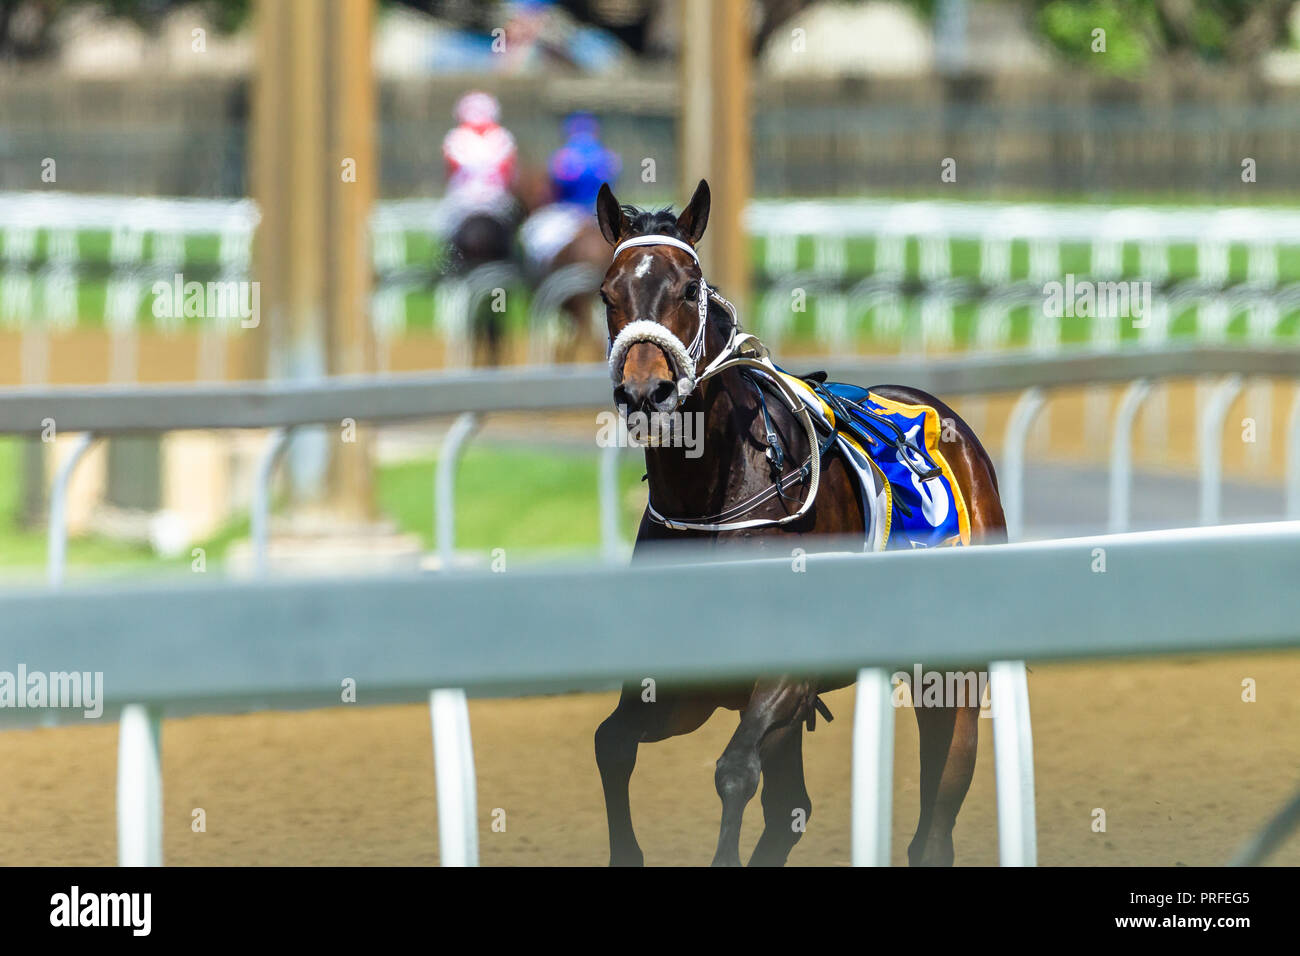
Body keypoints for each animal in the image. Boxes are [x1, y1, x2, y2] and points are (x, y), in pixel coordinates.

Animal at [592, 179, 1008, 867]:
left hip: (950, 679)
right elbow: (611, 743)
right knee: (792, 807)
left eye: (689, 287)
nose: (645, 393)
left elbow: (734, 772)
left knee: (938, 812)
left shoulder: (786, 674)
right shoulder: (685, 686)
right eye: (608, 292)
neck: (713, 495)